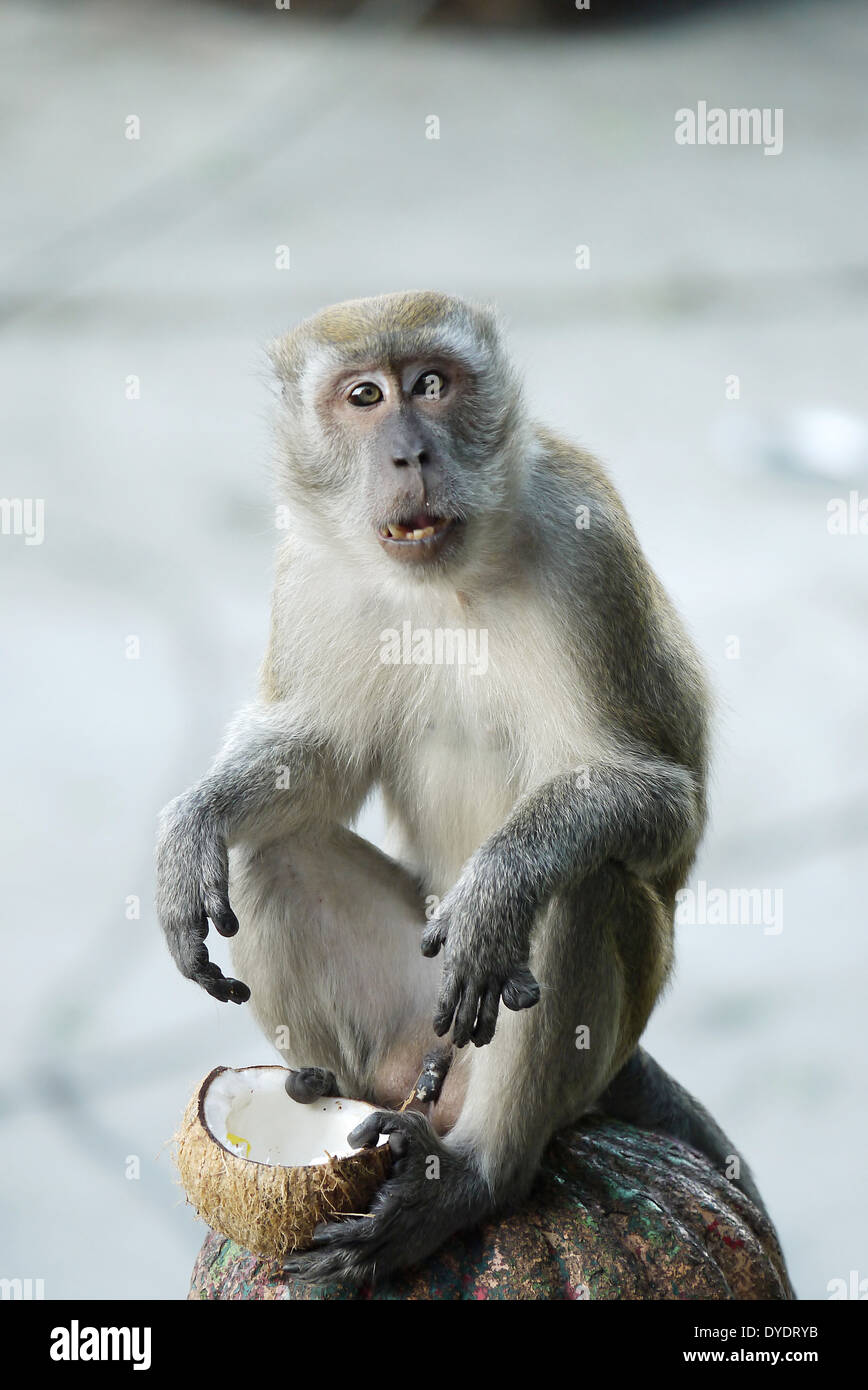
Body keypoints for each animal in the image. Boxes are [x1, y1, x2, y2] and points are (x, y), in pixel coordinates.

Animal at [156, 289, 766, 1286]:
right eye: (365, 396)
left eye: (432, 385)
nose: (410, 452)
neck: (447, 580)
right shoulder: (310, 569)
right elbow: (316, 762)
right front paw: (193, 821)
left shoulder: (585, 538)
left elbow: (661, 803)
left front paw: (502, 885)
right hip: (413, 1018)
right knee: (268, 856)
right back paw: (332, 1098)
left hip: (571, 1044)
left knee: (585, 885)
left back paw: (472, 1177)